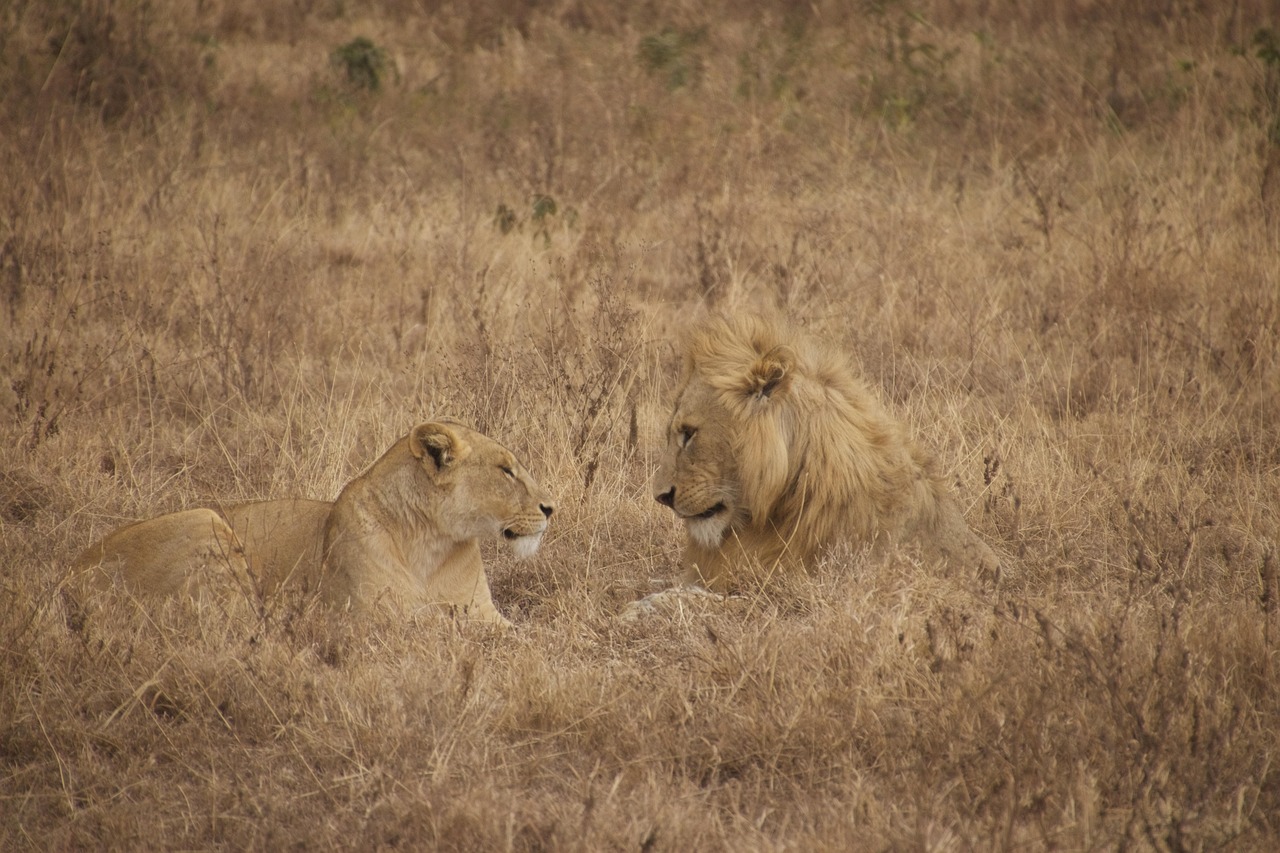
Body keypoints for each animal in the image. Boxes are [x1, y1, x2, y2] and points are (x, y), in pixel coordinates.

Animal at [71, 422, 554, 625]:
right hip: (206, 521)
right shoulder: (370, 621)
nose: (552, 508)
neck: (431, 544)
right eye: (506, 471)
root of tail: (69, 572)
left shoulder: (486, 614)